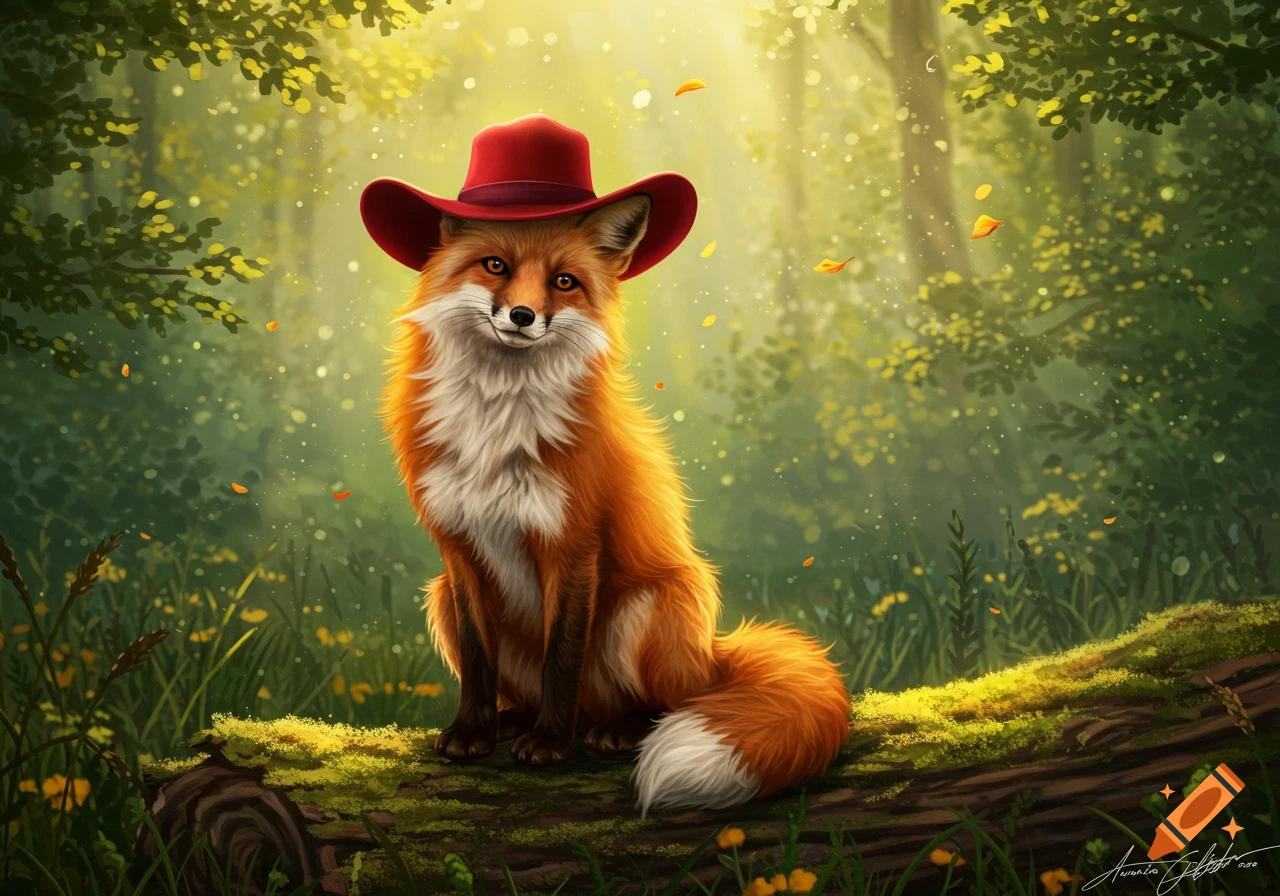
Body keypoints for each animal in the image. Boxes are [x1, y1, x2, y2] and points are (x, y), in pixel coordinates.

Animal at [381, 194, 851, 813]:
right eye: (495, 266)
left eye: (564, 281)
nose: (523, 316)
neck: (497, 421)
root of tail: (713, 657)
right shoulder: (457, 548)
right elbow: (480, 664)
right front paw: (474, 734)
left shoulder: (574, 543)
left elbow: (562, 658)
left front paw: (551, 747)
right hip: (438, 598)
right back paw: (516, 720)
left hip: (647, 606)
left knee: (664, 703)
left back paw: (616, 729)